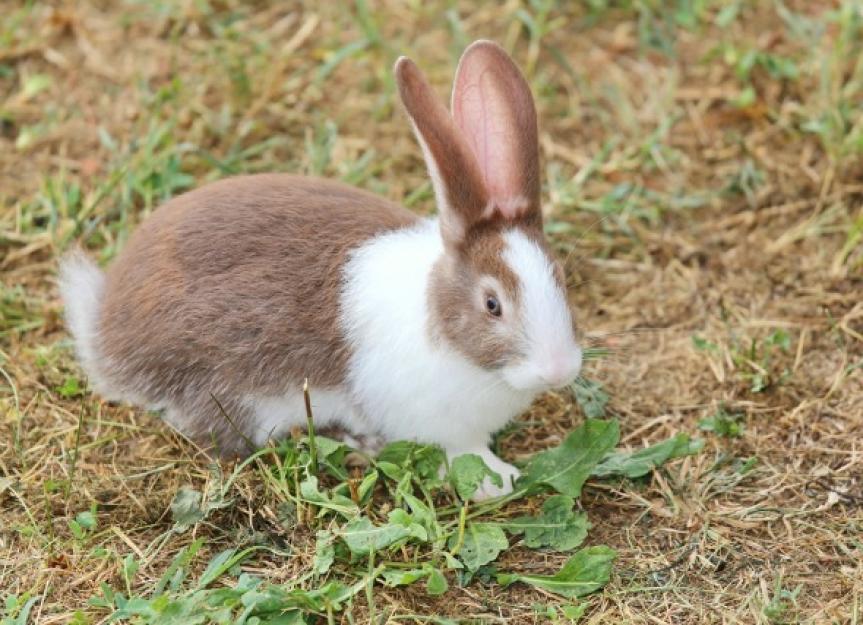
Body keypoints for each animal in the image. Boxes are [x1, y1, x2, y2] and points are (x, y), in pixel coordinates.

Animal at [58, 40, 583, 500]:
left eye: (561, 277)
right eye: (492, 304)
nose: (559, 371)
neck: (438, 321)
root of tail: (106, 335)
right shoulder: (439, 427)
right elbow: (462, 454)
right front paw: (496, 482)